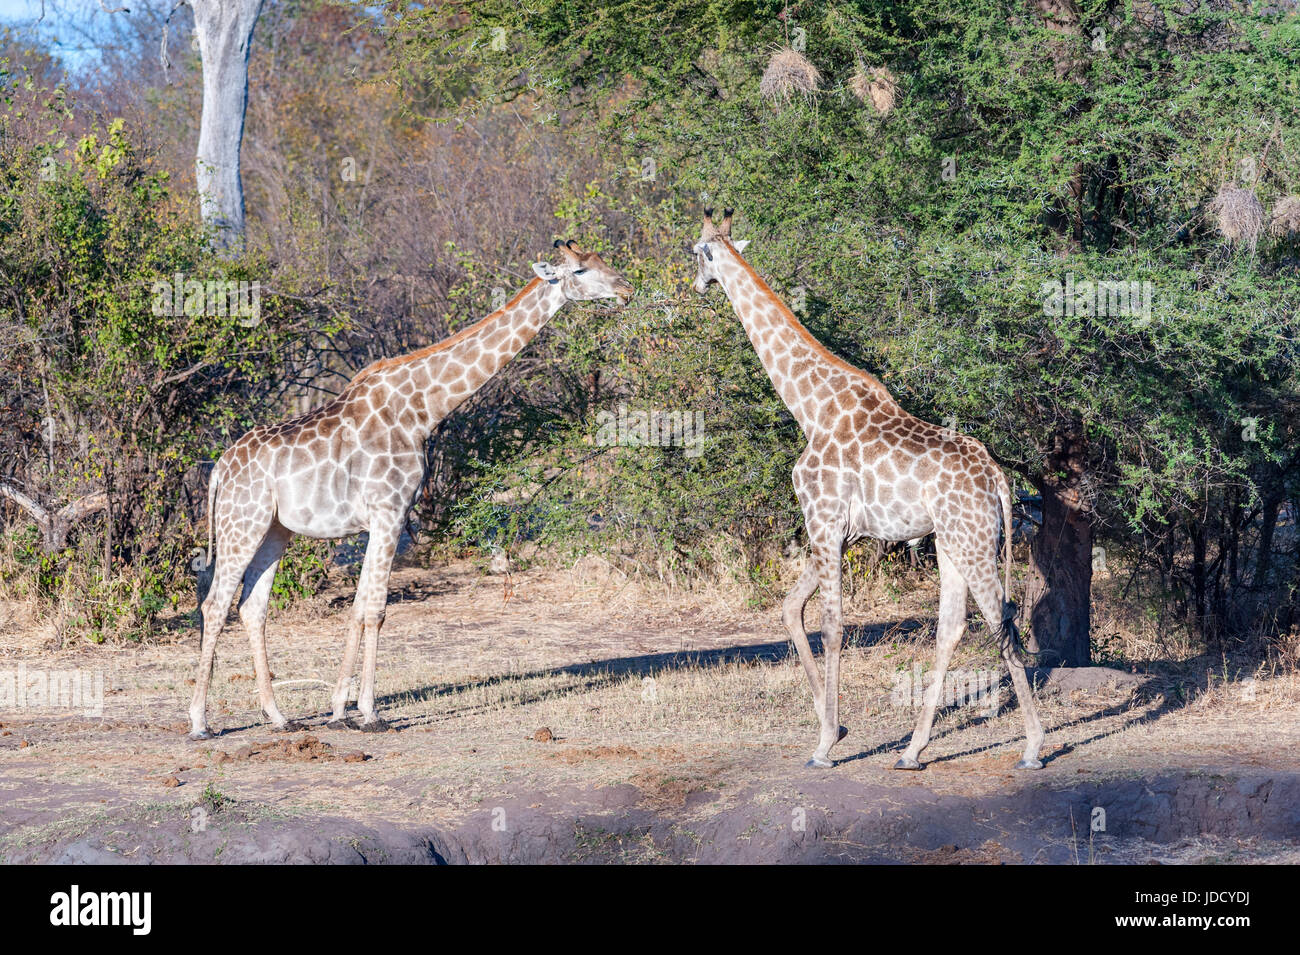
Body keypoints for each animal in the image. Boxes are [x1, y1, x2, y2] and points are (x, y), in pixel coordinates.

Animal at [188, 241, 634, 739]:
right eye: (580, 270)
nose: (627, 288)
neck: (423, 408)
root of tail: (220, 469)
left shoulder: (382, 518)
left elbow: (359, 606)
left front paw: (340, 710)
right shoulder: (391, 511)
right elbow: (376, 609)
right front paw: (370, 714)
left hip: (274, 530)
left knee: (252, 607)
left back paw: (279, 716)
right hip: (241, 524)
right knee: (215, 604)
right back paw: (200, 722)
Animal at [690, 210, 1043, 770]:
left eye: (694, 251)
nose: (696, 284)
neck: (809, 408)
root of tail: (998, 478)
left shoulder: (822, 519)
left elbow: (833, 625)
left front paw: (824, 746)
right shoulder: (839, 531)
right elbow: (791, 609)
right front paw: (833, 726)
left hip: (974, 542)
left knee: (999, 620)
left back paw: (1032, 747)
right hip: (951, 542)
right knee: (952, 627)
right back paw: (912, 750)